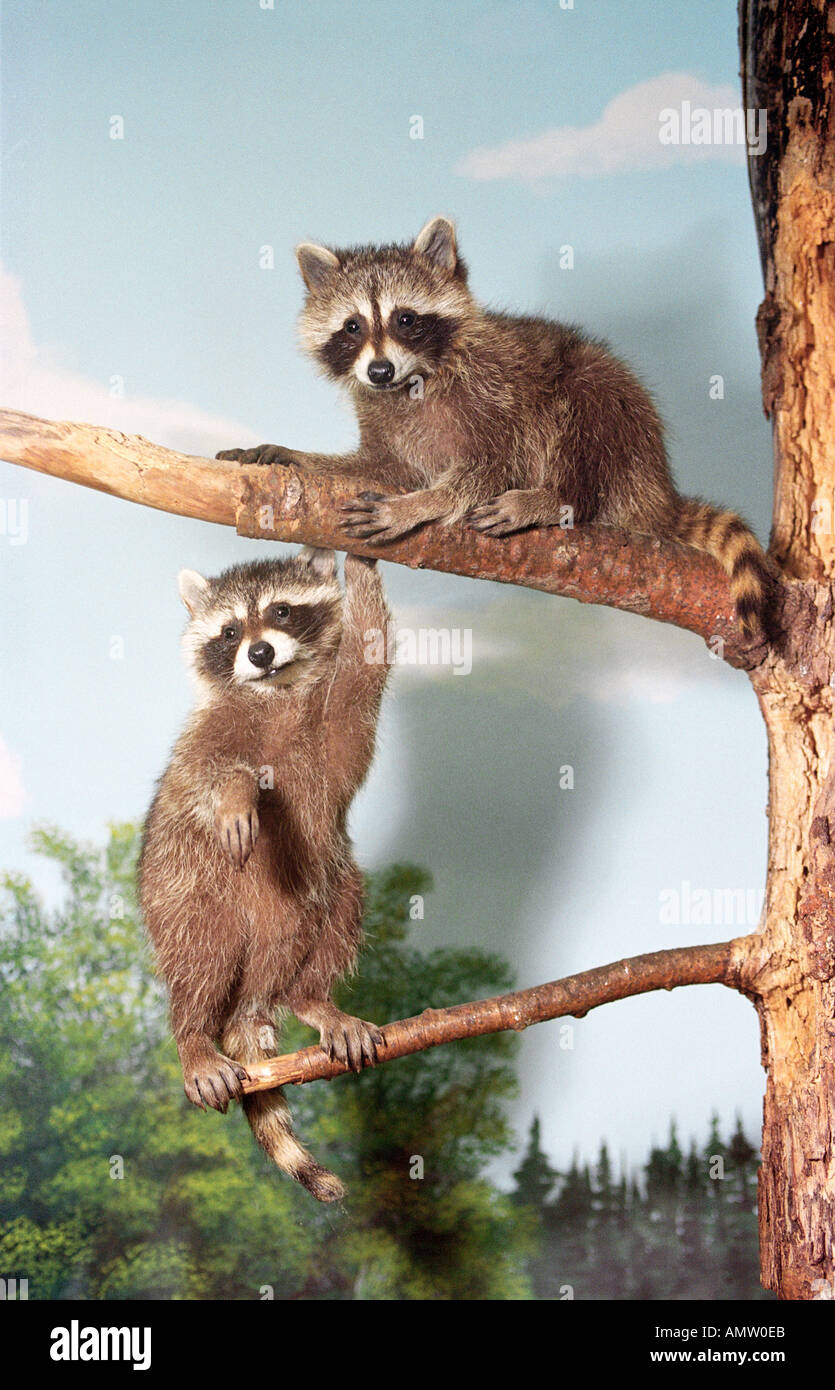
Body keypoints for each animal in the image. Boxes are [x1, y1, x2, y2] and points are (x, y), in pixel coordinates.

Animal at [138, 547, 391, 1202]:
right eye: (229, 631)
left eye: (280, 610)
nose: (257, 653)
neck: (275, 691)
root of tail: (254, 993)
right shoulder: (206, 735)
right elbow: (210, 773)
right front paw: (236, 793)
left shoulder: (335, 717)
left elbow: (371, 649)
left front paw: (364, 560)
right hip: (183, 891)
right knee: (202, 955)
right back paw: (194, 1035)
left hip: (327, 881)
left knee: (339, 908)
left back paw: (310, 998)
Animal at [217, 216, 771, 639]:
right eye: (352, 326)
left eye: (405, 320)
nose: (379, 370)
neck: (412, 382)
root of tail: (658, 487)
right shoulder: (382, 416)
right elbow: (381, 467)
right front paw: (294, 455)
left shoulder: (497, 395)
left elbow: (491, 466)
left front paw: (418, 505)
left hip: (616, 416)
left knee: (585, 403)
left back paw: (555, 497)